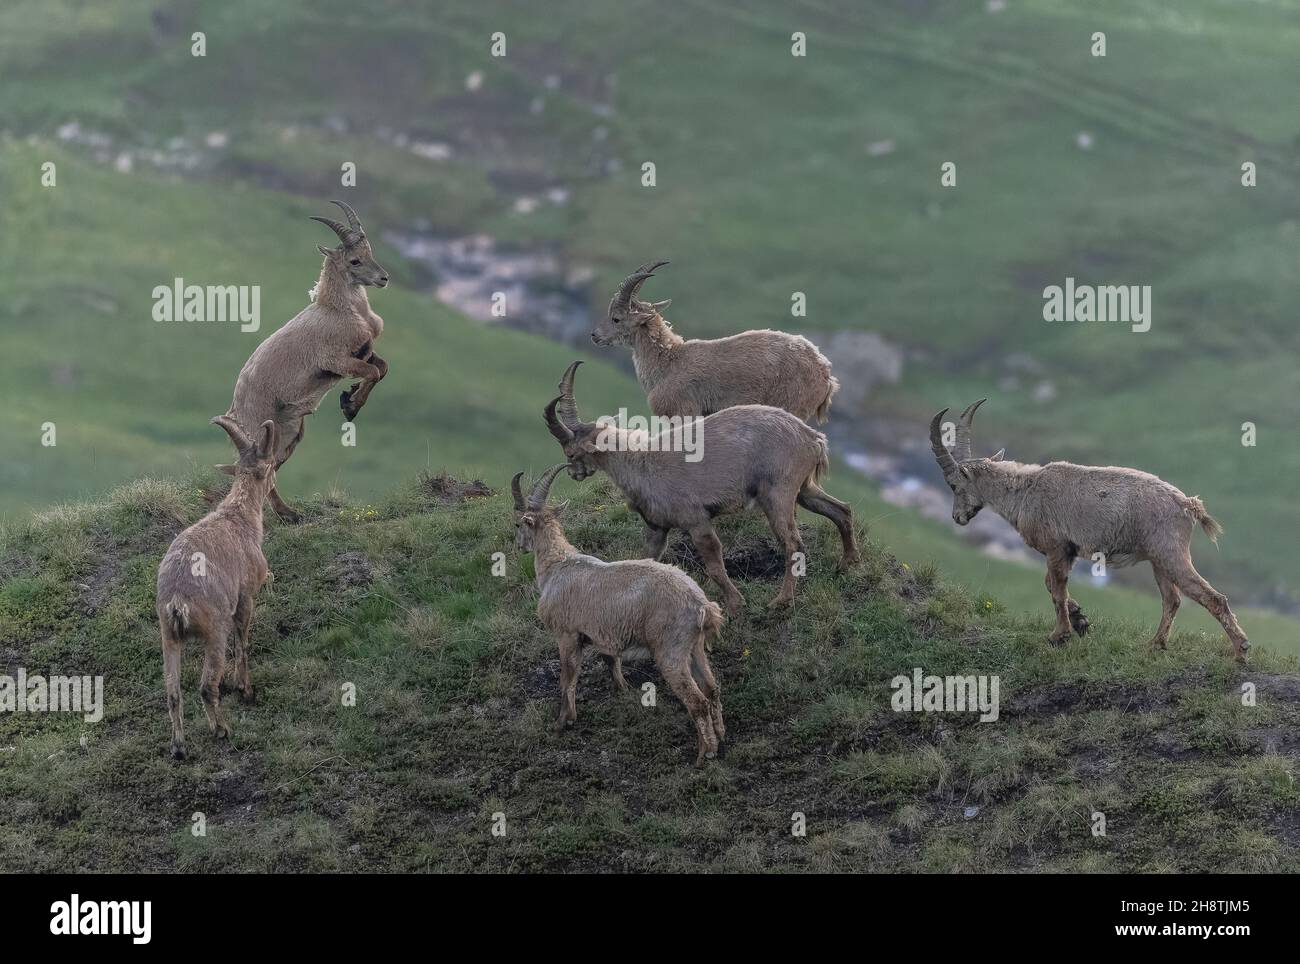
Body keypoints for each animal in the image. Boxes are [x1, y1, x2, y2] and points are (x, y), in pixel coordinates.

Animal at [157, 417, 279, 759]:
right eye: (272, 464)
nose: (275, 482)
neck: (239, 516)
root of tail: (177, 602)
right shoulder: (246, 596)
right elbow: (244, 643)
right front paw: (245, 689)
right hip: (214, 630)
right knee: (206, 686)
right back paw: (222, 730)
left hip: (168, 636)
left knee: (172, 692)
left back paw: (179, 748)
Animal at [221, 200, 390, 523]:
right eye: (354, 261)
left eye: (370, 253)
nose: (384, 278)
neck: (340, 309)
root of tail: (235, 408)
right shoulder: (336, 360)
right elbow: (373, 372)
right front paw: (350, 407)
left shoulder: (362, 352)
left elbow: (382, 368)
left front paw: (349, 397)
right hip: (265, 428)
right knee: (265, 466)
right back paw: (288, 514)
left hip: (291, 432)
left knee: (273, 465)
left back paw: (286, 512)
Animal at [513, 464, 726, 765]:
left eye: (518, 524)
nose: (519, 545)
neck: (557, 566)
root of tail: (702, 606)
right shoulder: (598, 635)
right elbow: (610, 661)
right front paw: (621, 688)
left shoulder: (567, 634)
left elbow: (568, 677)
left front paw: (563, 721)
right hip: (694, 648)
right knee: (712, 689)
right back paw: (720, 737)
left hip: (670, 651)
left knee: (697, 701)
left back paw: (704, 753)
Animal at [543, 360, 859, 614]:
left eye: (570, 452)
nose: (574, 473)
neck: (641, 461)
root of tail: (813, 438)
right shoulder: (657, 528)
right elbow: (648, 560)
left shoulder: (696, 521)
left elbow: (715, 566)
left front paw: (736, 603)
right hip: (804, 488)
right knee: (842, 510)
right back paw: (847, 564)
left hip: (777, 493)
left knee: (794, 543)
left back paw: (780, 601)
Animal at [929, 400, 1249, 660]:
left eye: (953, 485)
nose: (957, 517)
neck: (1025, 491)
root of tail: (1187, 504)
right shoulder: (1066, 552)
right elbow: (1051, 585)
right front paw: (1080, 620)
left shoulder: (1056, 547)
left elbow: (1057, 589)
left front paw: (1059, 635)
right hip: (1159, 560)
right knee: (1172, 599)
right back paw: (1155, 645)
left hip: (1170, 553)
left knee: (1211, 597)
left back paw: (1241, 651)